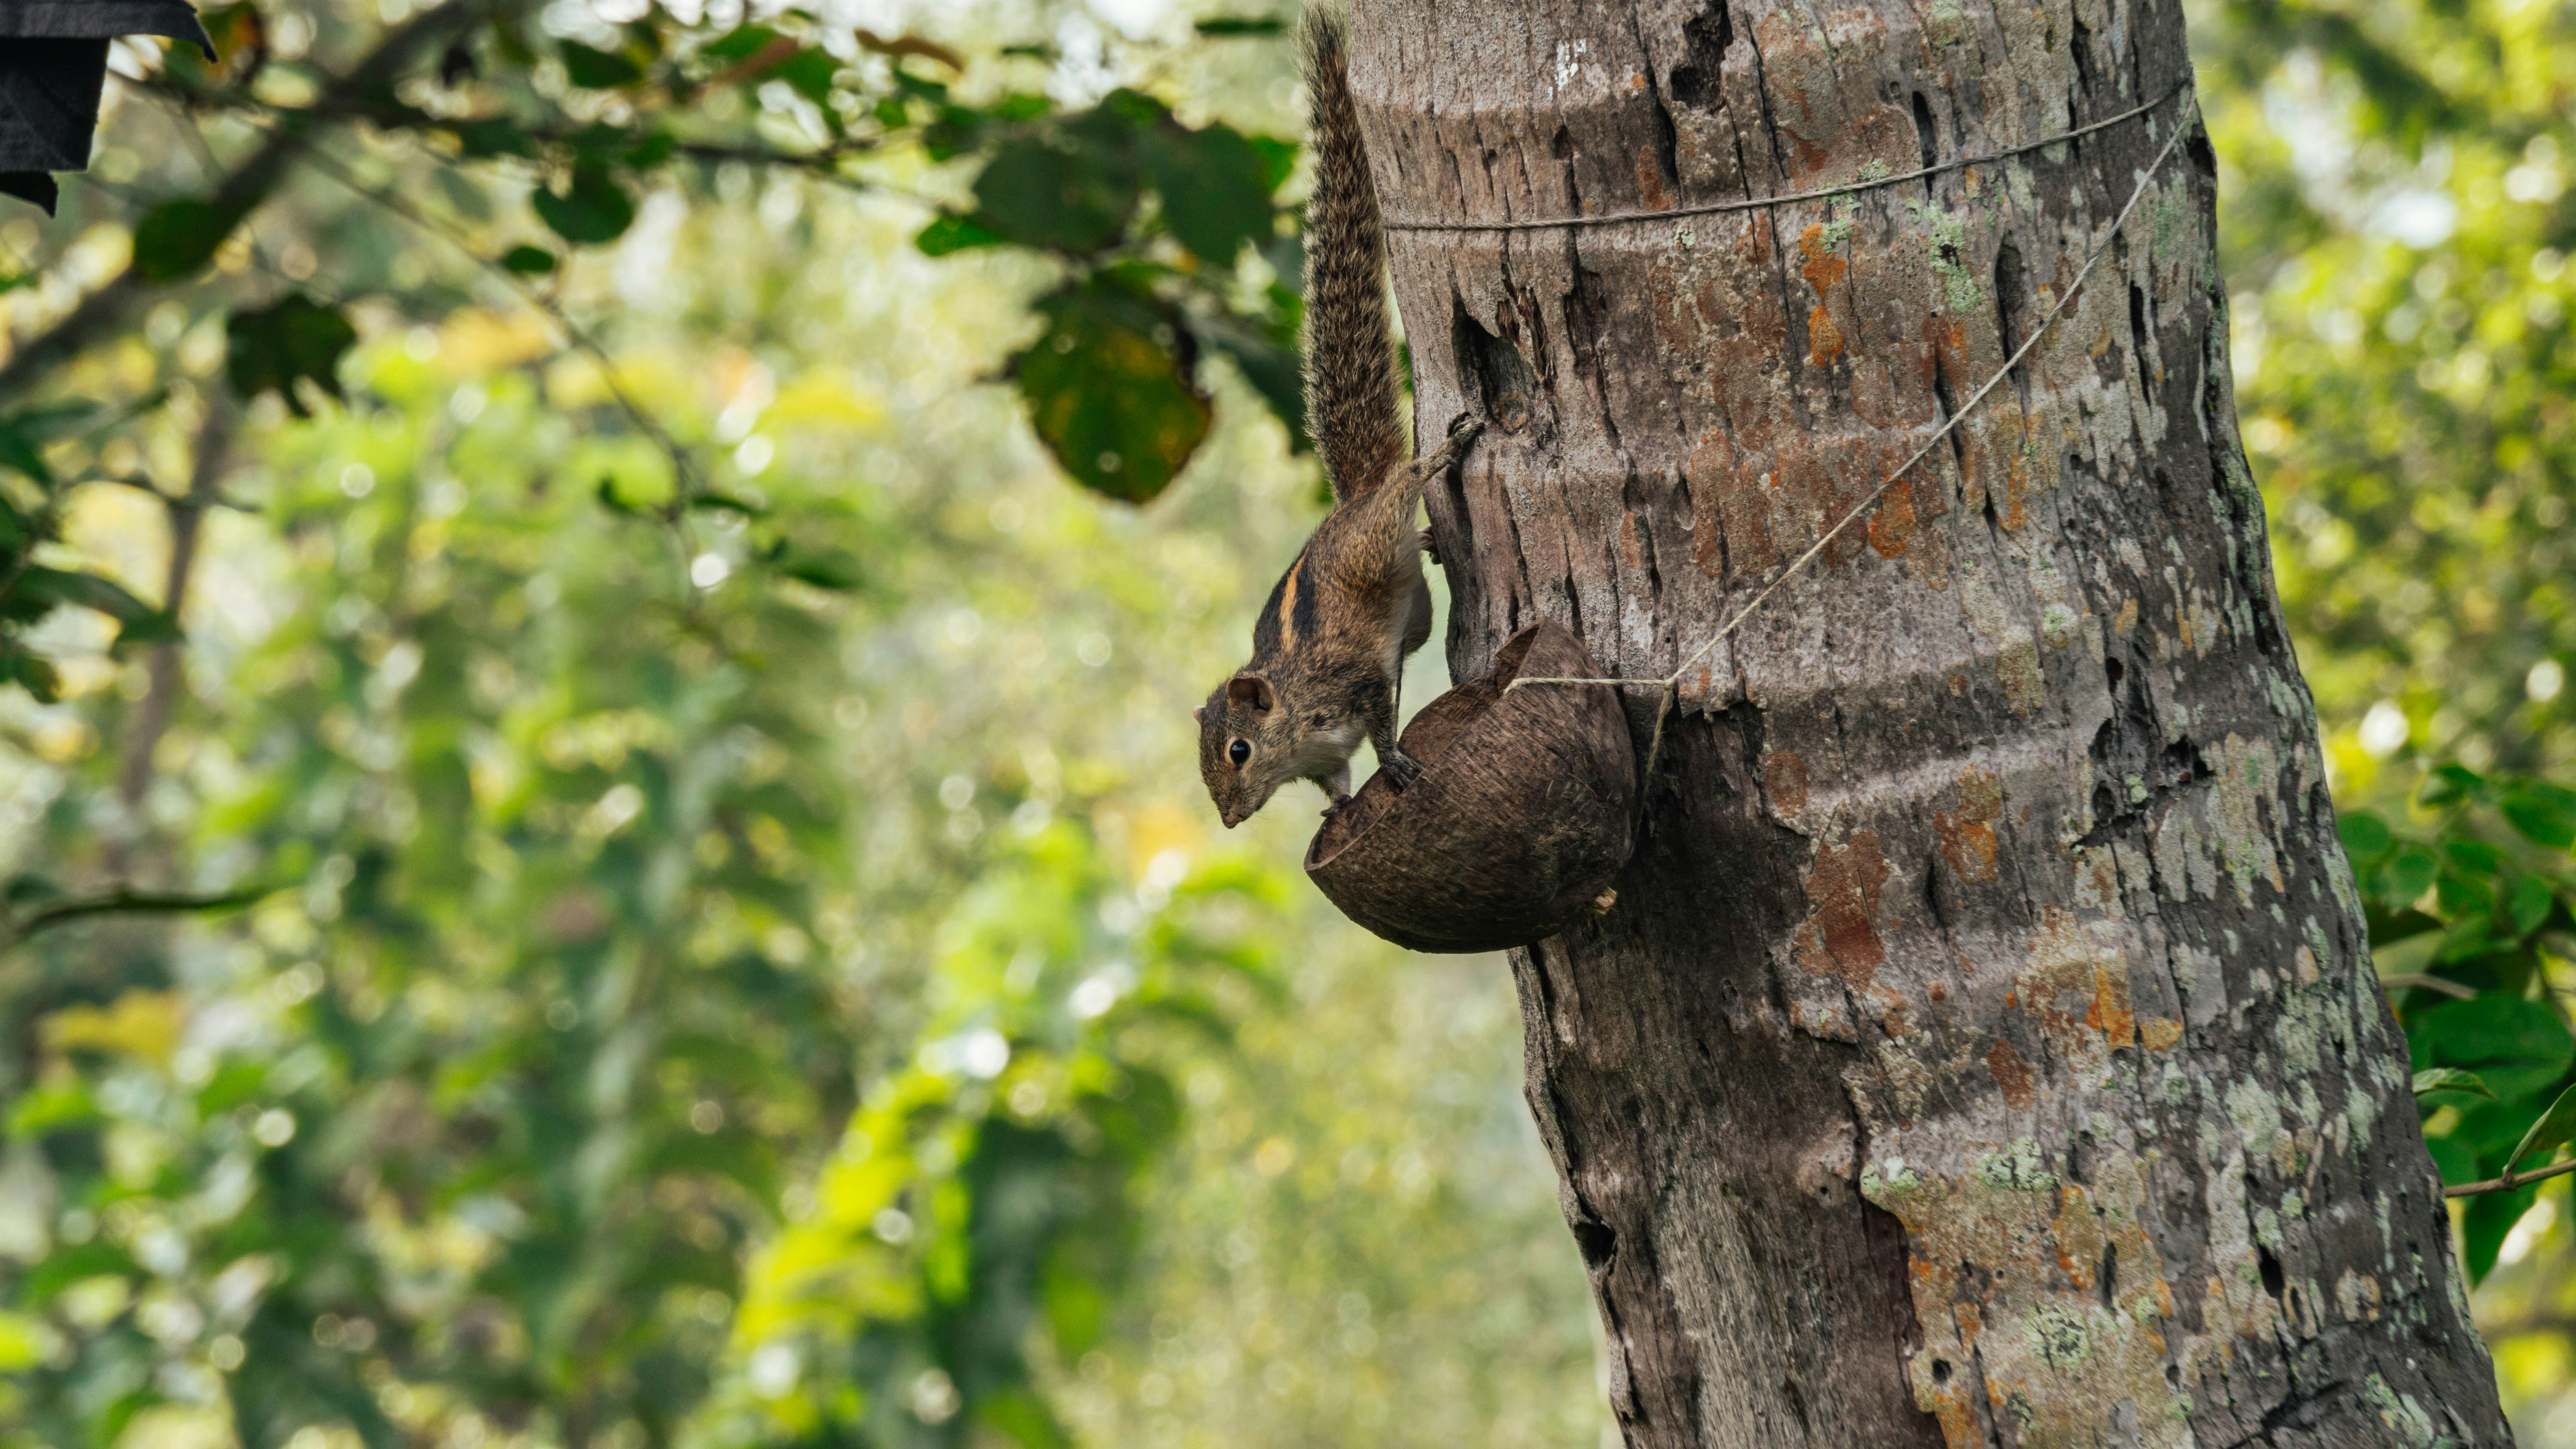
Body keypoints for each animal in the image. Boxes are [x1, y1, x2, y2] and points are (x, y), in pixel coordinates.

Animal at [1196, 8, 1481, 829]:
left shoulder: (1352, 683)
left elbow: (1380, 718)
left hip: (1372, 537)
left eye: (1238, 751)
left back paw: (1437, 462)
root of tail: (1349, 502)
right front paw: (1337, 809)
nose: (1230, 820)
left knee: (1402, 486)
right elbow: (1334, 782)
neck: (1294, 714)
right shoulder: (1323, 756)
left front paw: (1393, 763)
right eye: (1205, 763)